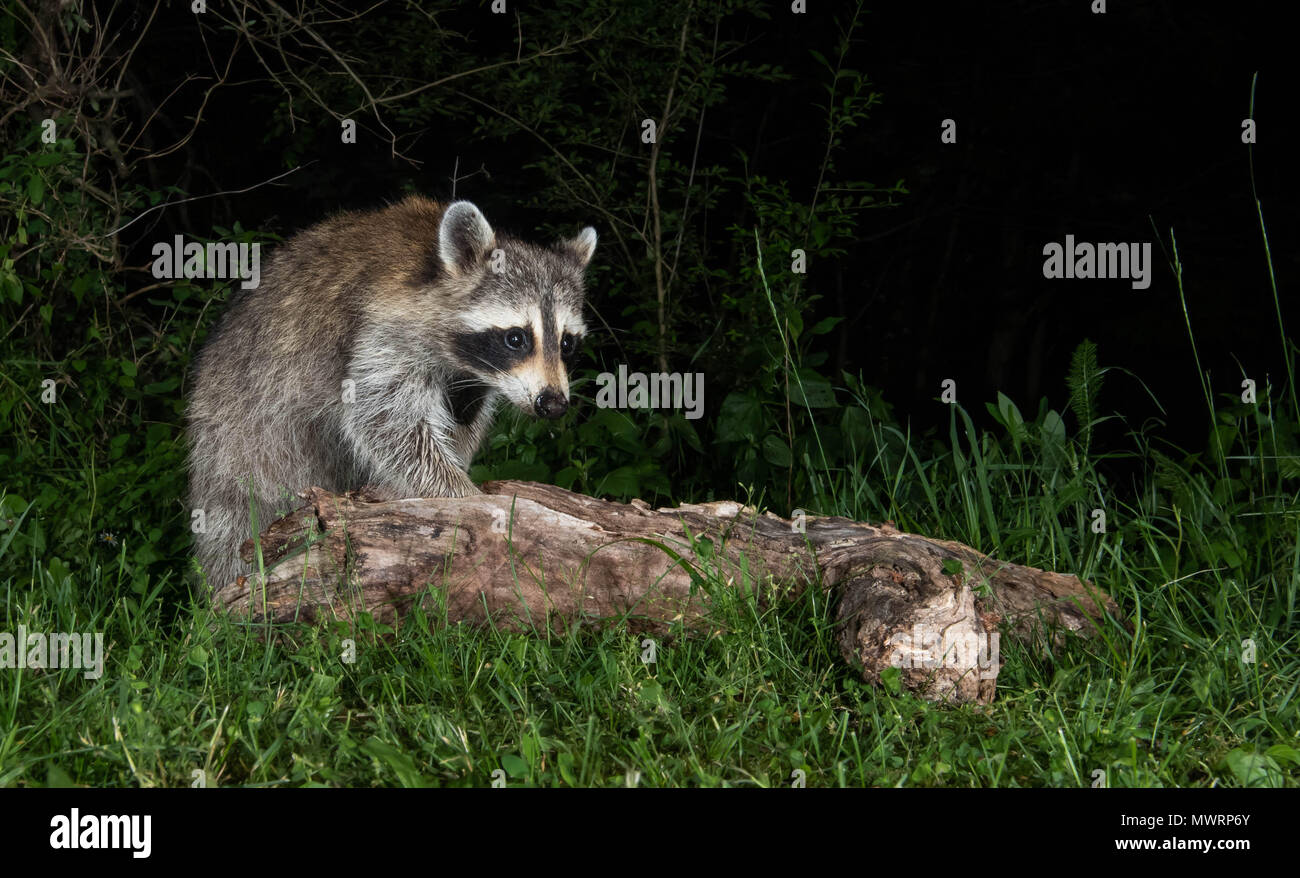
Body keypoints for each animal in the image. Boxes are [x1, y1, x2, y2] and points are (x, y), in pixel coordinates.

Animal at [187, 197, 596, 590]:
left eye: (567, 343)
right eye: (516, 338)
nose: (553, 404)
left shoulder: (472, 383)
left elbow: (459, 425)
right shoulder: (386, 331)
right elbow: (385, 419)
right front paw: (463, 496)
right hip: (242, 429)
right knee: (238, 512)